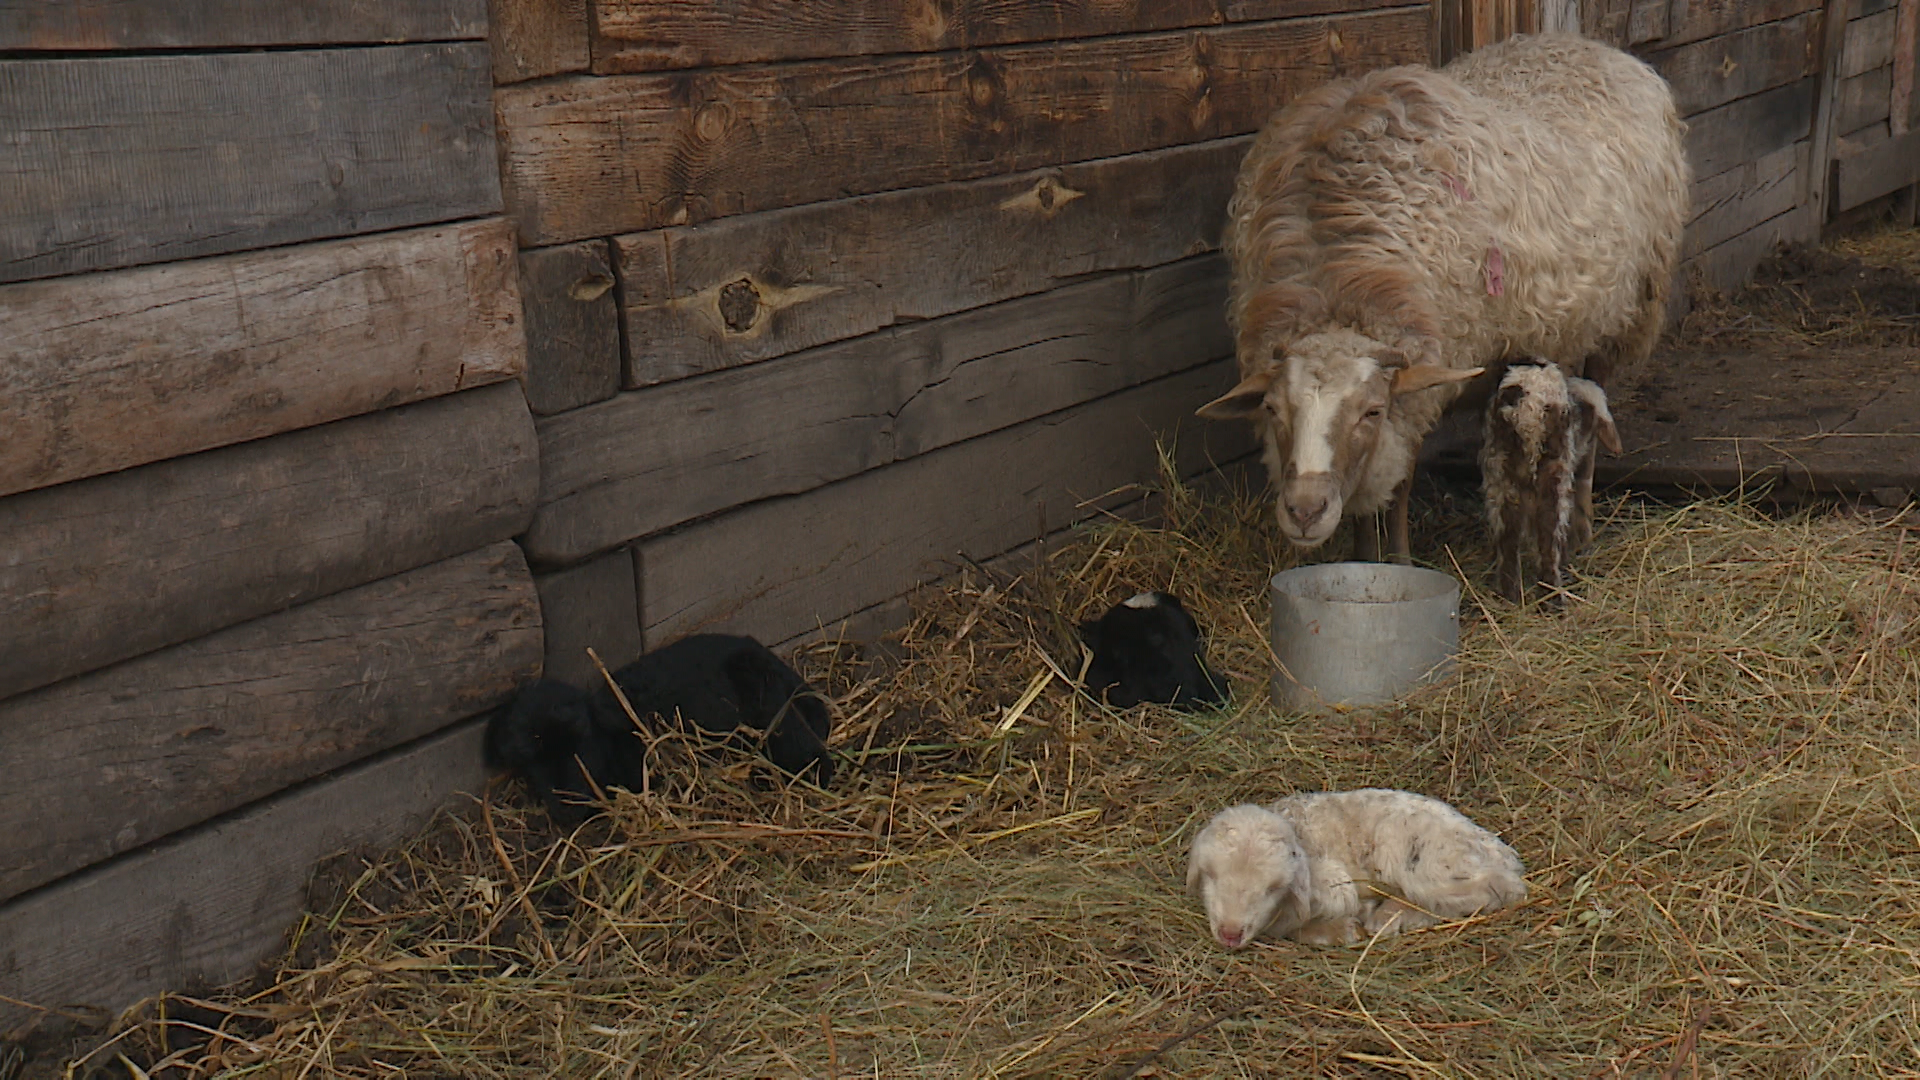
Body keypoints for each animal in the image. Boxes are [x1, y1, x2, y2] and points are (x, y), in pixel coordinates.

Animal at [1182, 787, 1528, 945]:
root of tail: (1503, 852)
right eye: (1211, 875)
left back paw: (1392, 917)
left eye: (1272, 888)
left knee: (1495, 889)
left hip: (1418, 852)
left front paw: (1346, 927)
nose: (1230, 933)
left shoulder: (1334, 882)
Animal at [1190, 30, 1689, 557]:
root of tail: (1591, 45)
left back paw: (1582, 523)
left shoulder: (1421, 385)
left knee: (1595, 414)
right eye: (1271, 409)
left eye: (1372, 411)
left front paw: (1400, 558)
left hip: (1626, 311)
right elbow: (1365, 504)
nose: (1305, 511)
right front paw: (1365, 558)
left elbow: (1399, 484)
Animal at [1482, 357, 1620, 599]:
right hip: (1554, 473)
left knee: (1508, 535)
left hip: (1500, 474)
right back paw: (1553, 596)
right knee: (1548, 535)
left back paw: (1511, 596)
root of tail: (1529, 406)